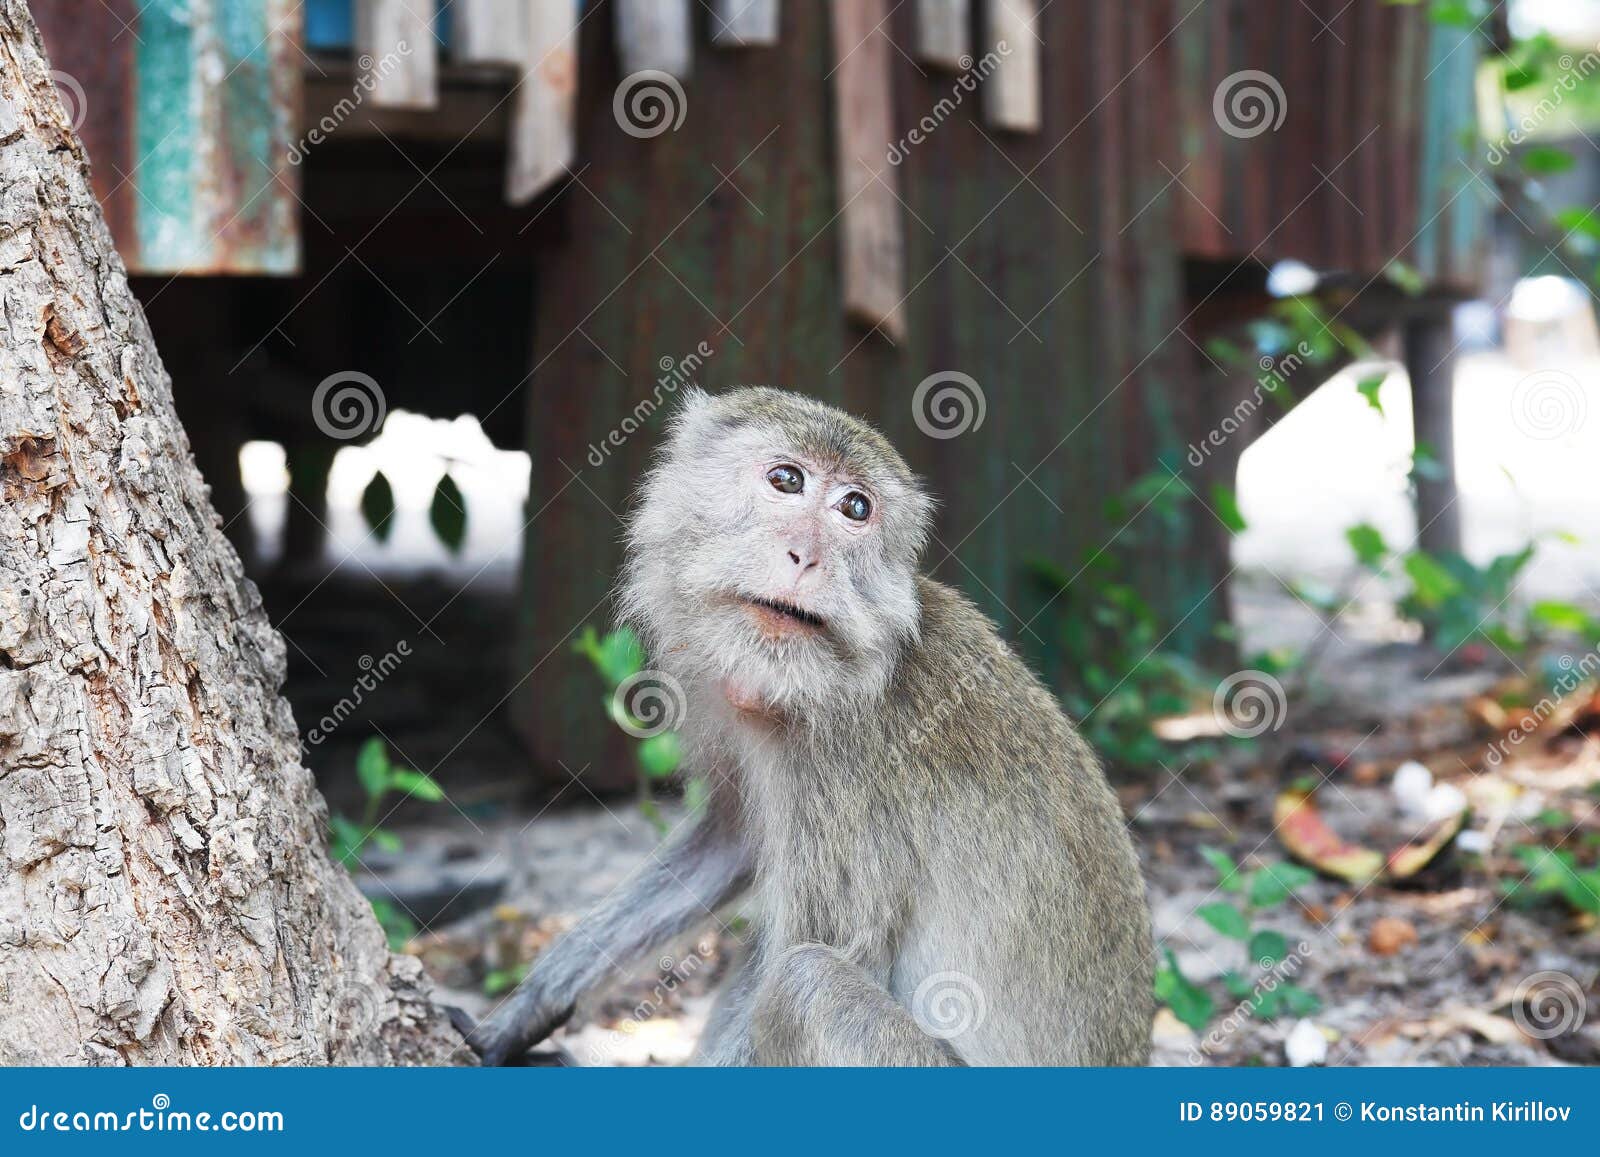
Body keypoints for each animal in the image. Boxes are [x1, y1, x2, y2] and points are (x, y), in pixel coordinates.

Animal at [469, 387, 1153, 1066]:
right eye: (786, 480)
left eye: (855, 507)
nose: (808, 555)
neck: (820, 683)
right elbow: (730, 841)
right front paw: (533, 1000)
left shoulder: (847, 769)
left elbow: (829, 951)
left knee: (808, 982)